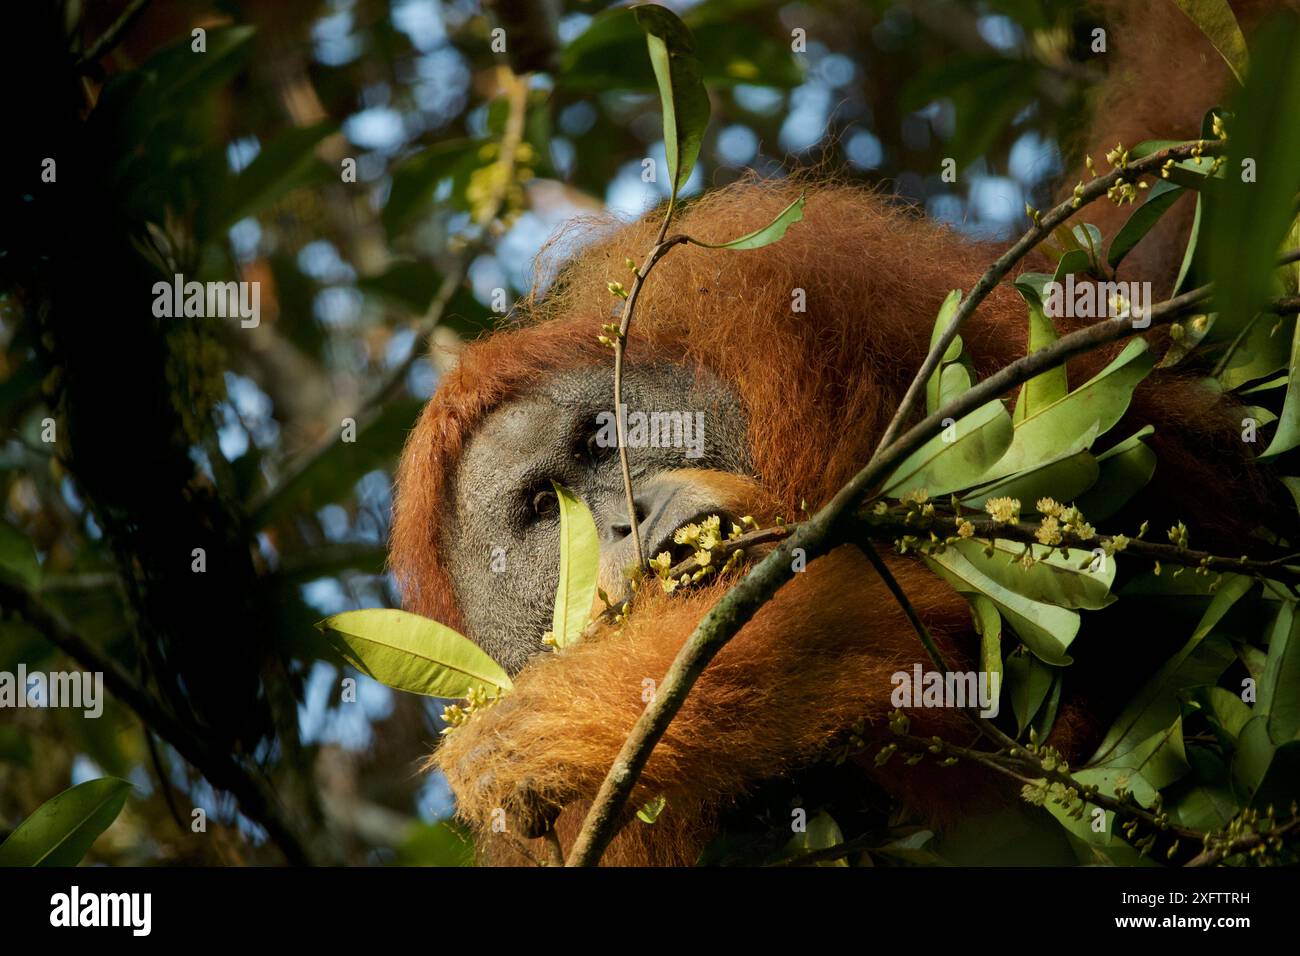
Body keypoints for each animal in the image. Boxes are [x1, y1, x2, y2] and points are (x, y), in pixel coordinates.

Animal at [390, 1, 1291, 865]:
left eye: (601, 437)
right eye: (544, 508)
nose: (626, 519)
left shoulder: (787, 286)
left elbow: (975, 619)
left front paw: (545, 723)